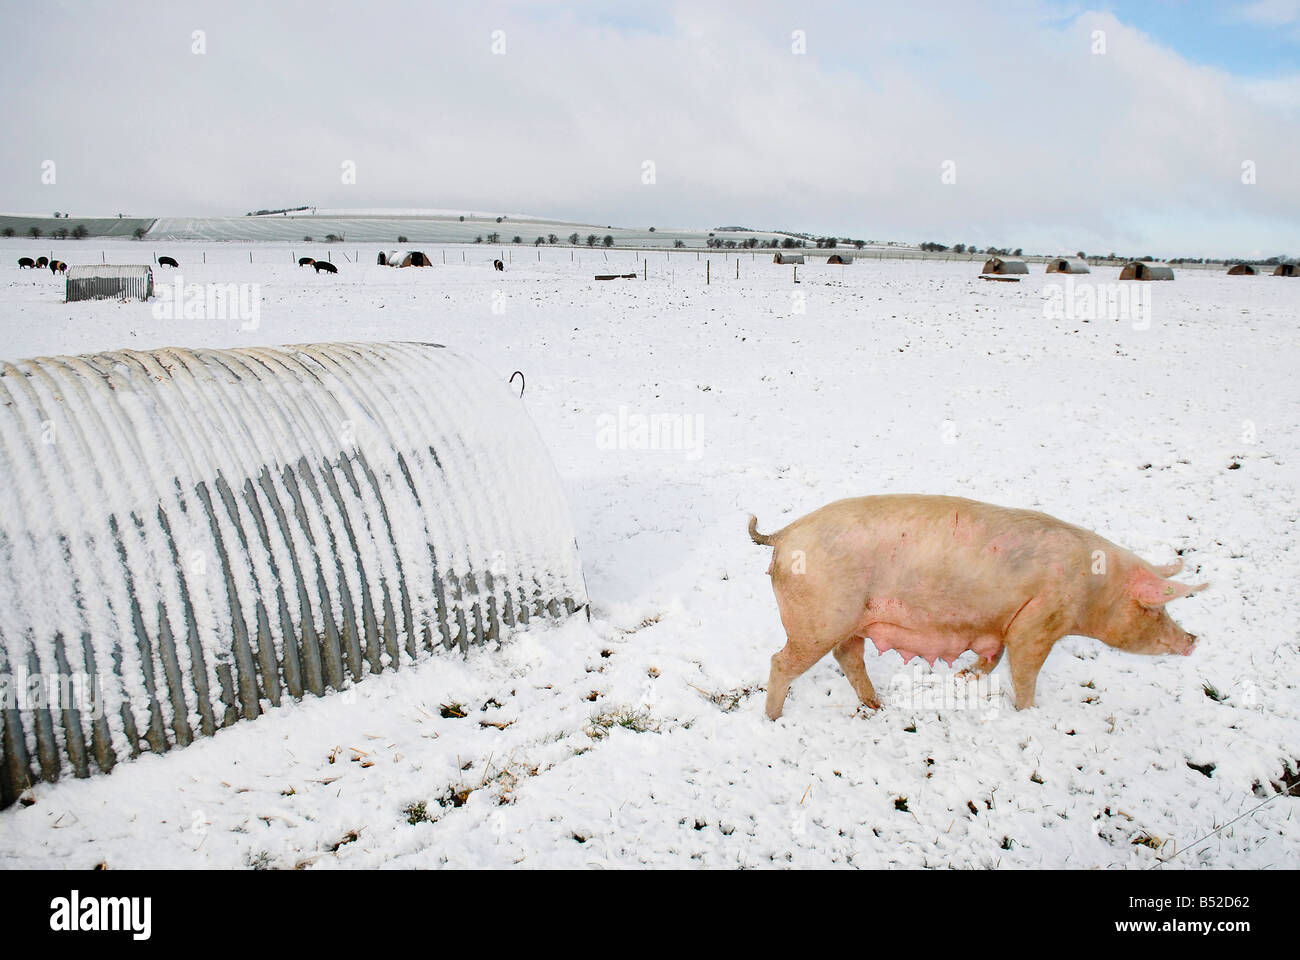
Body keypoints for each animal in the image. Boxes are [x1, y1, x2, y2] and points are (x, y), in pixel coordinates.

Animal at [748, 495, 1207, 719]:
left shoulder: (1000, 623)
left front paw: (965, 677)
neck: (1095, 590)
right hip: (818, 620)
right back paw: (772, 719)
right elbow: (1023, 668)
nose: (1193, 639)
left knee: (848, 656)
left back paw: (877, 706)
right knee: (780, 661)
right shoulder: (1039, 621)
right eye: (1155, 609)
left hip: (851, 621)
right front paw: (1027, 713)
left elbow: (995, 653)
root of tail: (783, 534)